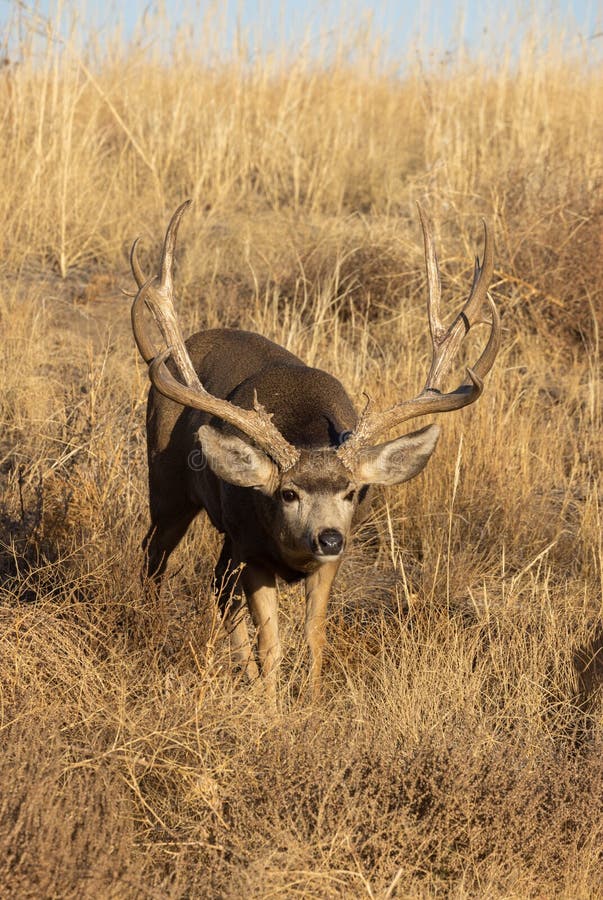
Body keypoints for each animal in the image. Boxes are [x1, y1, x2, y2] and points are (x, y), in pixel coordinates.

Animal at [129, 201, 500, 701]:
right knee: (156, 554)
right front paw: (270, 706)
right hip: (166, 483)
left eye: (351, 492)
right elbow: (272, 641)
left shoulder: (325, 562)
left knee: (218, 586)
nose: (328, 537)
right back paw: (150, 629)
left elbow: (314, 633)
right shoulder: (254, 551)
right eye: (287, 493)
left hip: (224, 534)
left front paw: (312, 698)